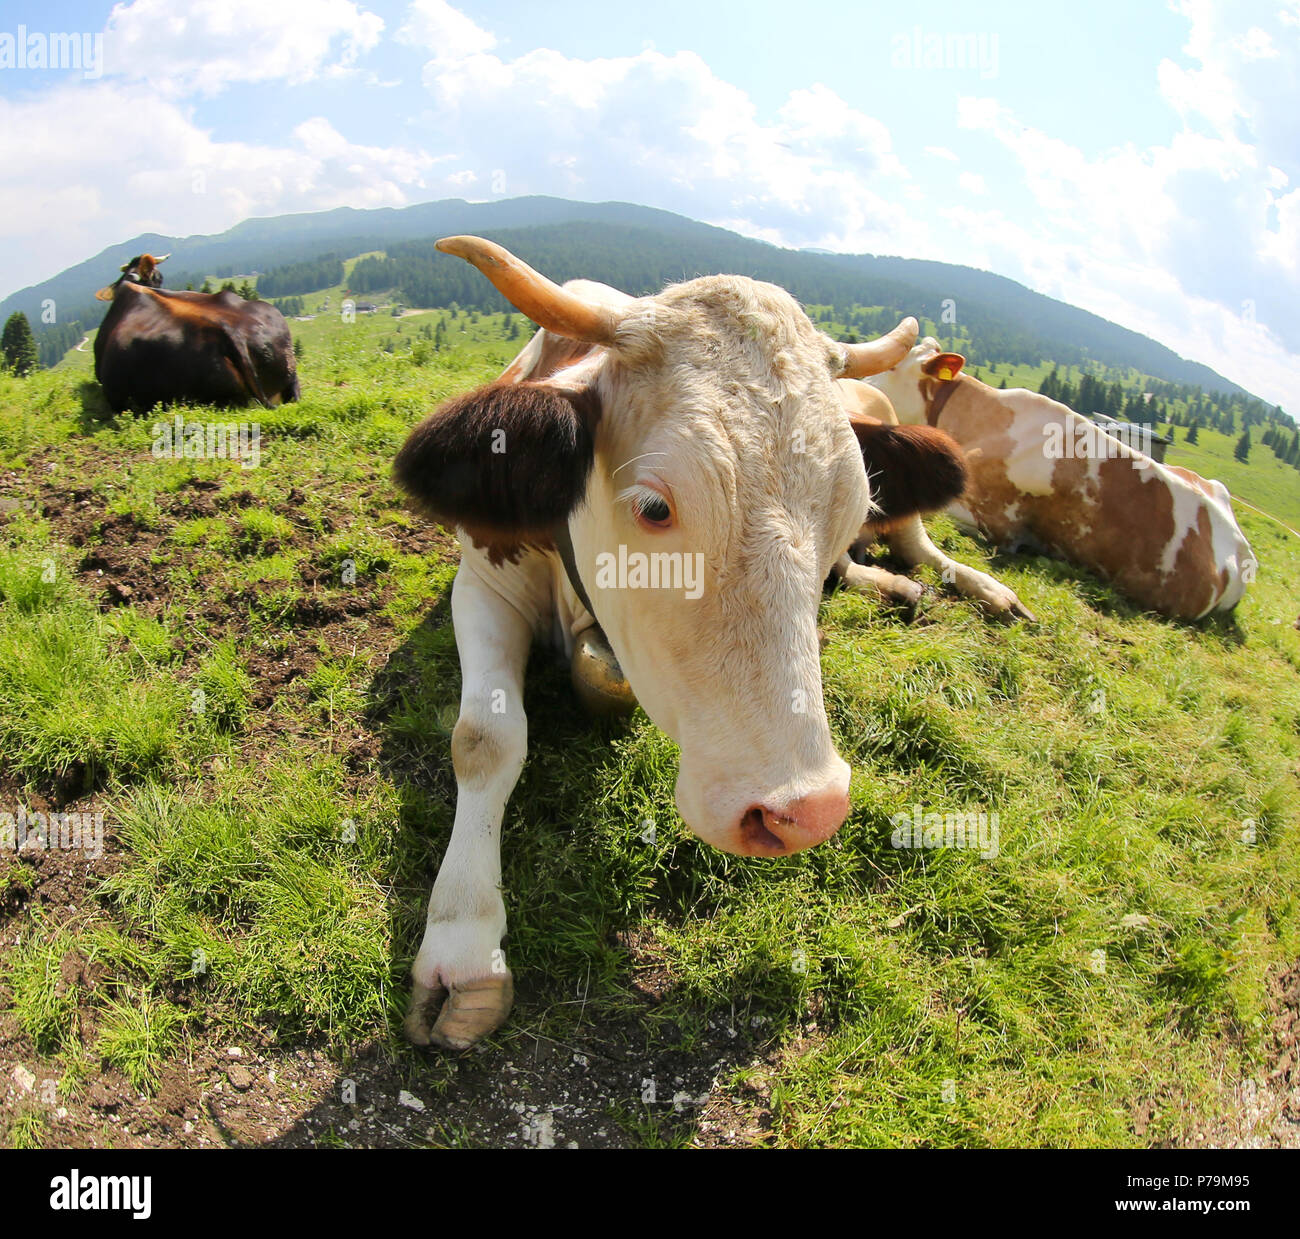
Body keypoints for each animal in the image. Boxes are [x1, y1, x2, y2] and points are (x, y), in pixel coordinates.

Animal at [393, 236, 970, 1050]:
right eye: (655, 507)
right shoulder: (481, 583)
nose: (806, 810)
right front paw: (463, 944)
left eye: (854, 506)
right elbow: (484, 738)